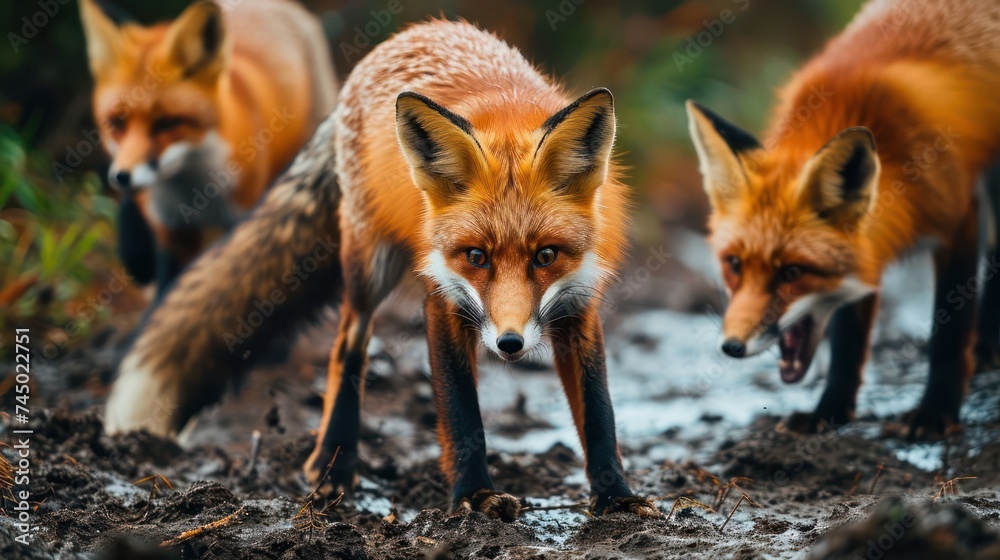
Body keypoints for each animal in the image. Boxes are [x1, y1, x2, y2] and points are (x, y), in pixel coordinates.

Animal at [79, 0, 337, 294]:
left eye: (167, 123)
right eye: (116, 123)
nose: (122, 177)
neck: (193, 193)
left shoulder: (239, 219)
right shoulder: (172, 236)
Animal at [103, 20, 658, 520]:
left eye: (545, 256)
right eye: (476, 256)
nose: (509, 344)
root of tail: (410, 32)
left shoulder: (579, 302)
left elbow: (600, 411)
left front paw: (616, 497)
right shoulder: (444, 295)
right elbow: (462, 416)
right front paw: (475, 497)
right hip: (369, 266)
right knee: (348, 346)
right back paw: (334, 467)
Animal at [686, 0, 1000, 437]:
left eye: (792, 272)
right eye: (734, 264)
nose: (731, 347)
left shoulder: (959, 221)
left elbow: (949, 334)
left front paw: (937, 411)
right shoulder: (863, 257)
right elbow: (847, 341)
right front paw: (829, 412)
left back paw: (986, 346)